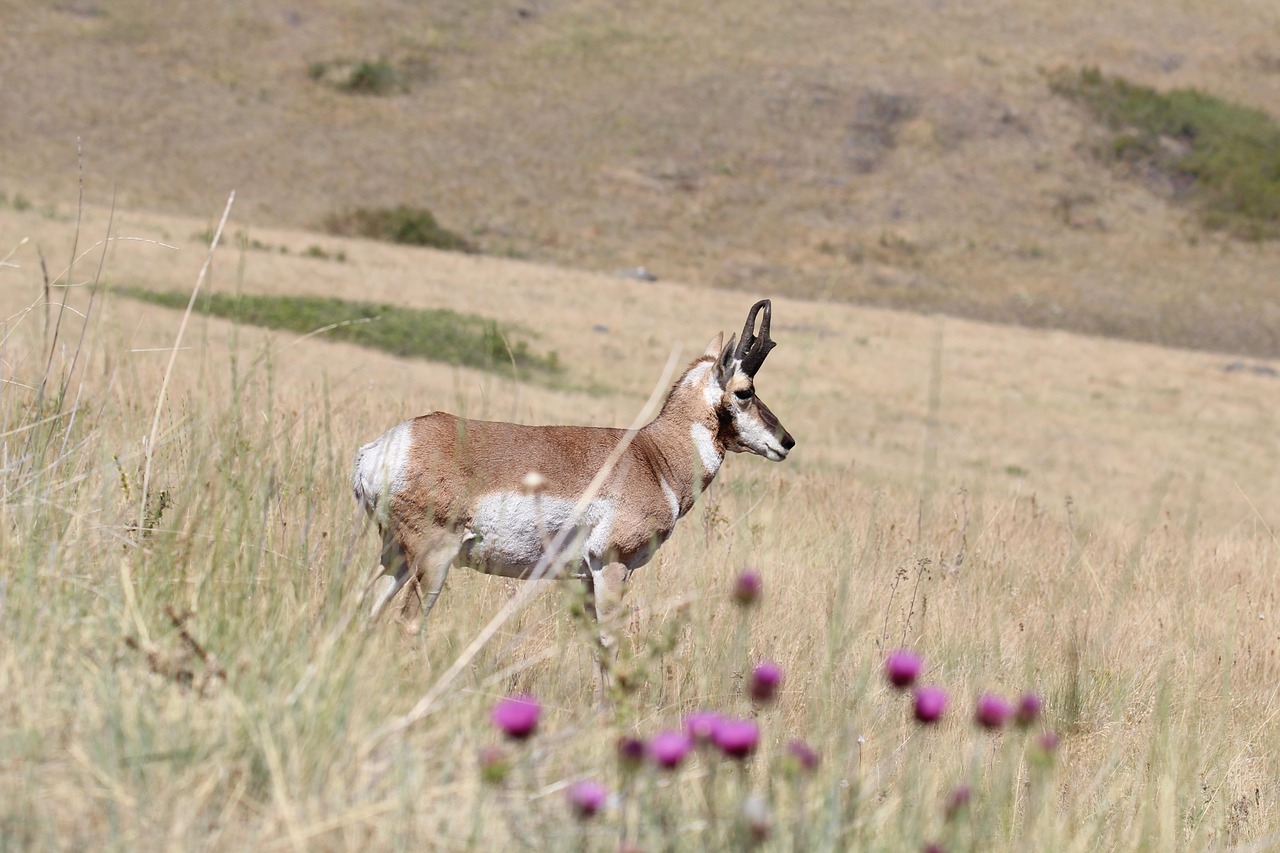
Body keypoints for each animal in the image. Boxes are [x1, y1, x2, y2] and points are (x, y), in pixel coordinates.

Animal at [352, 299, 795, 636]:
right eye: (745, 391)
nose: (787, 442)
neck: (654, 455)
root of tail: (381, 448)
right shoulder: (612, 566)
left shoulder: (584, 581)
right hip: (433, 558)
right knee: (408, 622)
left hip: (395, 555)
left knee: (362, 606)